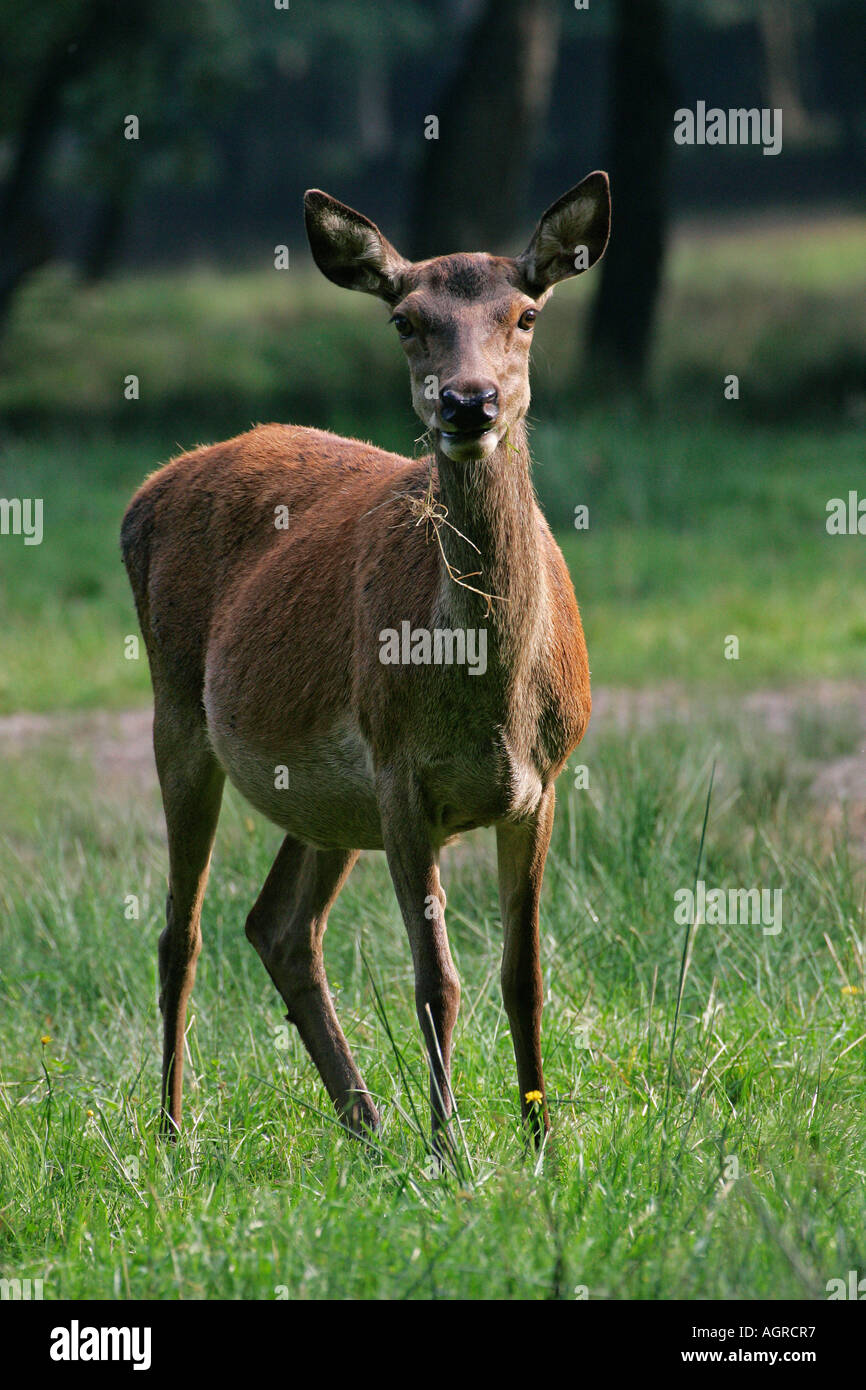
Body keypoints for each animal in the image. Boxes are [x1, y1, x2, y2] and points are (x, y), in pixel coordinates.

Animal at [121, 170, 610, 1157]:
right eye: (406, 320)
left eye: (526, 314)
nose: (468, 403)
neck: (488, 703)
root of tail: (145, 492)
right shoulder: (399, 775)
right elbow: (436, 981)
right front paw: (452, 1148)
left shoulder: (543, 781)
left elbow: (525, 975)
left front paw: (540, 1140)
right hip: (180, 714)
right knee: (179, 932)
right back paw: (174, 1129)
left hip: (325, 801)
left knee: (277, 925)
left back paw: (366, 1120)